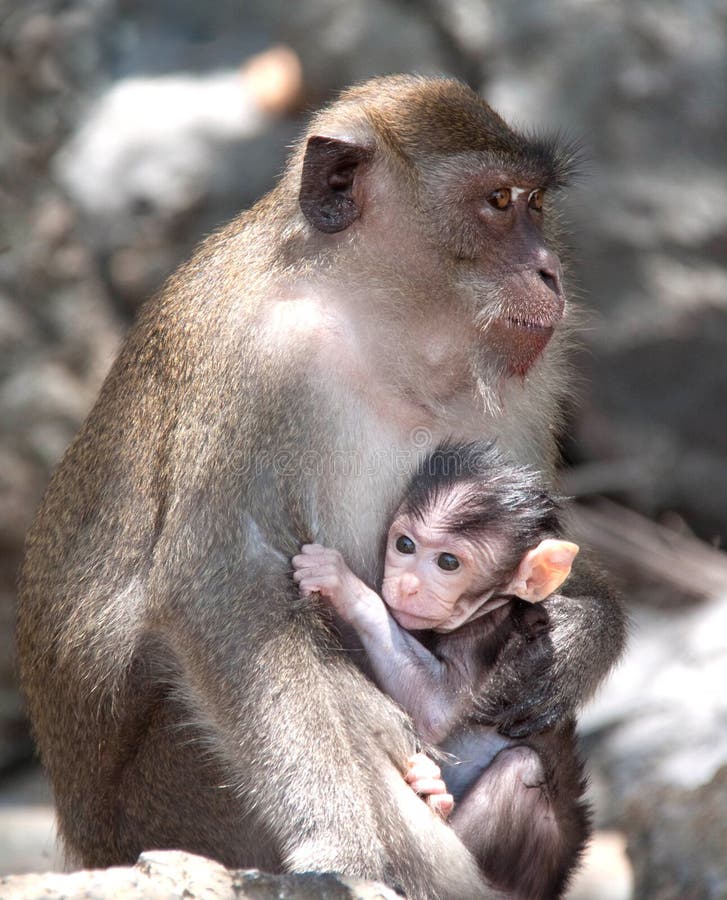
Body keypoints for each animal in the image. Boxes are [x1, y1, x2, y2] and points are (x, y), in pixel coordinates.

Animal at [292, 440, 590, 899]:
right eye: (405, 545)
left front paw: (343, 583)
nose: (407, 586)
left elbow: (434, 711)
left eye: (448, 562)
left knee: (520, 769)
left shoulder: (488, 634)